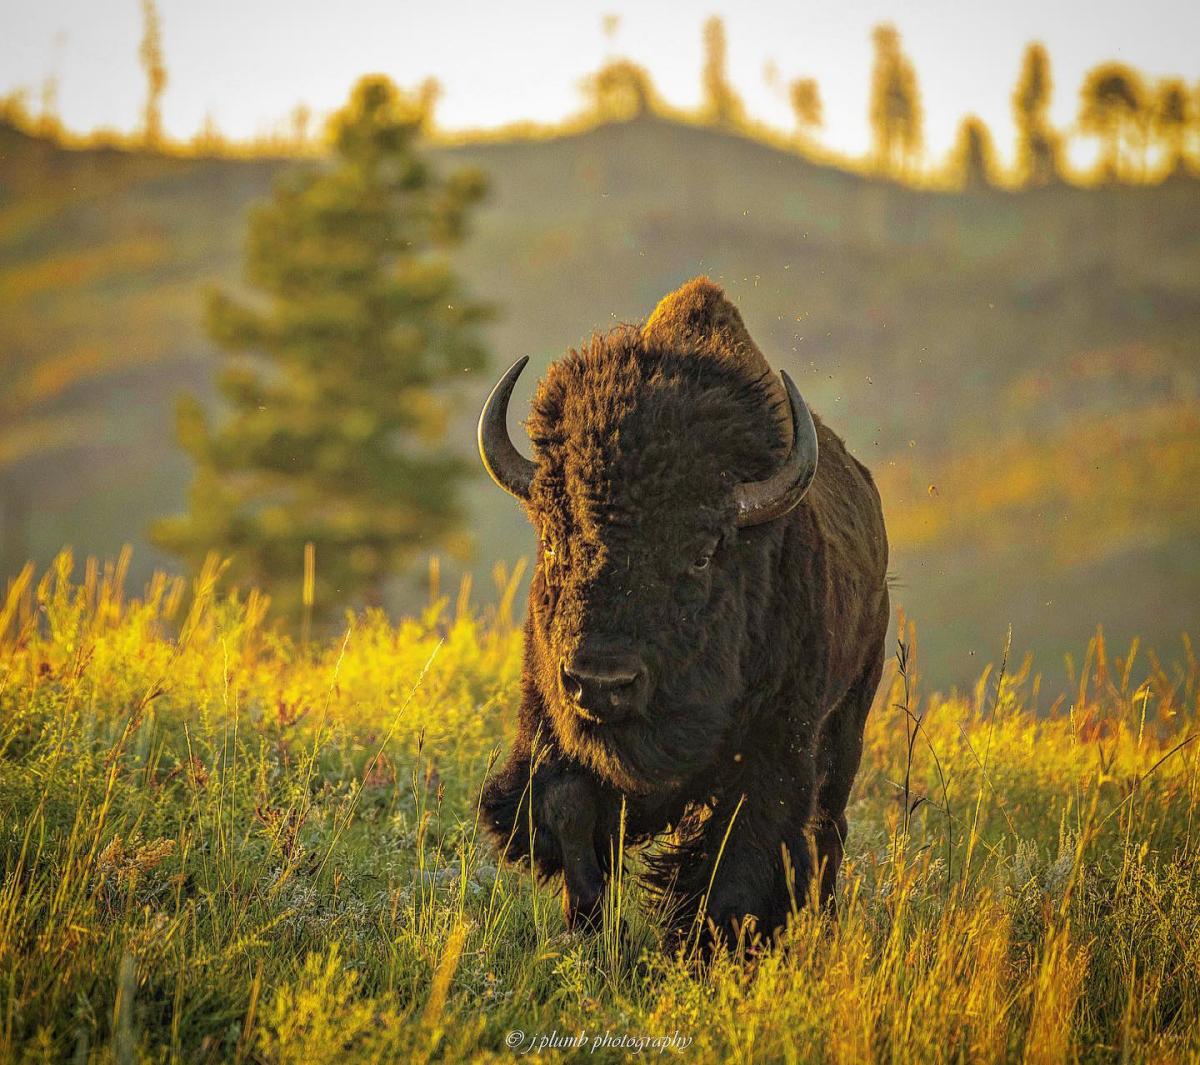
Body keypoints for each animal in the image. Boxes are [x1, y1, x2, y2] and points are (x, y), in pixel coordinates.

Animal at [477, 278, 889, 951]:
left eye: (701, 554)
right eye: (558, 540)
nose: (602, 681)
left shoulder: (775, 748)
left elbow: (740, 852)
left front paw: (709, 948)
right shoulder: (550, 724)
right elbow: (567, 806)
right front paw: (592, 930)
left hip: (850, 718)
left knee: (827, 829)